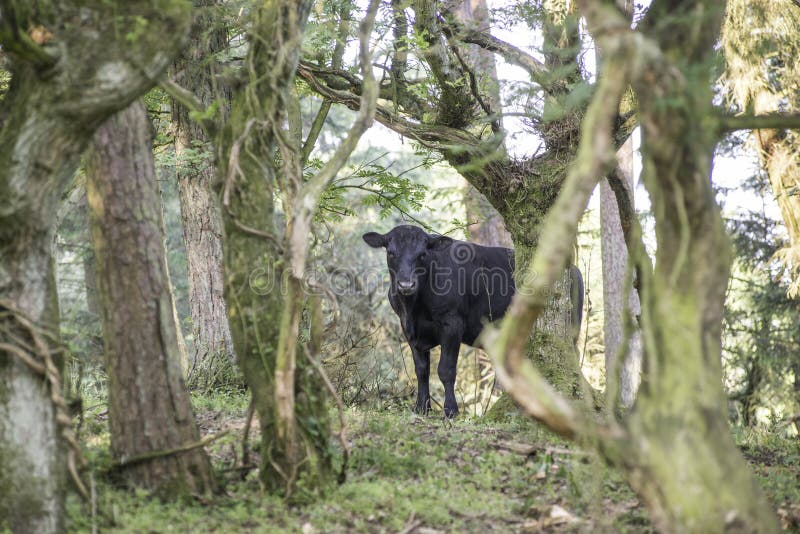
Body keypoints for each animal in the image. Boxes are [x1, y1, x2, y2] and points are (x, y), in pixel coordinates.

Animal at [362, 224, 516, 417]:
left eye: (422, 254)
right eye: (391, 252)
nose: (406, 285)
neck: (414, 309)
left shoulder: (452, 324)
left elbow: (445, 369)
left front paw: (450, 410)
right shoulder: (408, 329)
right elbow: (421, 370)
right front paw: (421, 408)